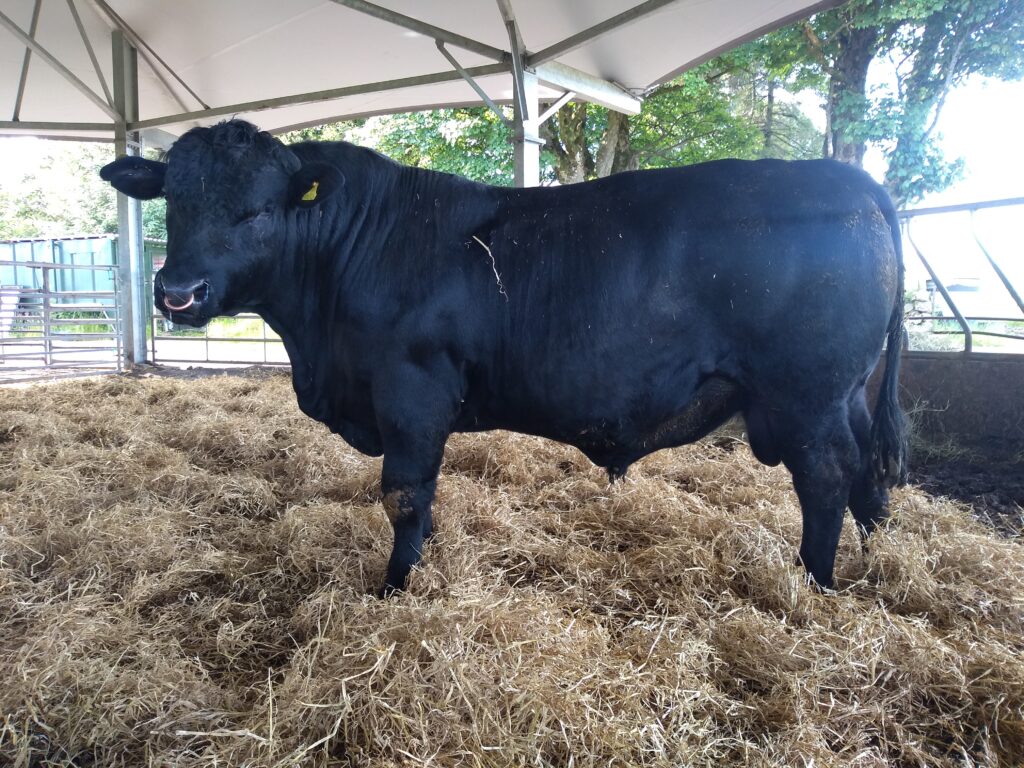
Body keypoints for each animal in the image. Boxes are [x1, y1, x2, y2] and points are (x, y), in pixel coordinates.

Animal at [101, 119, 907, 595]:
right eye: (173, 200)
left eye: (259, 209)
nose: (177, 292)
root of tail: (846, 177)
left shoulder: (412, 393)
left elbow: (404, 493)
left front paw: (395, 587)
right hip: (848, 393)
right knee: (870, 475)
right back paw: (878, 563)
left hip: (806, 395)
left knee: (828, 476)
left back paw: (815, 581)